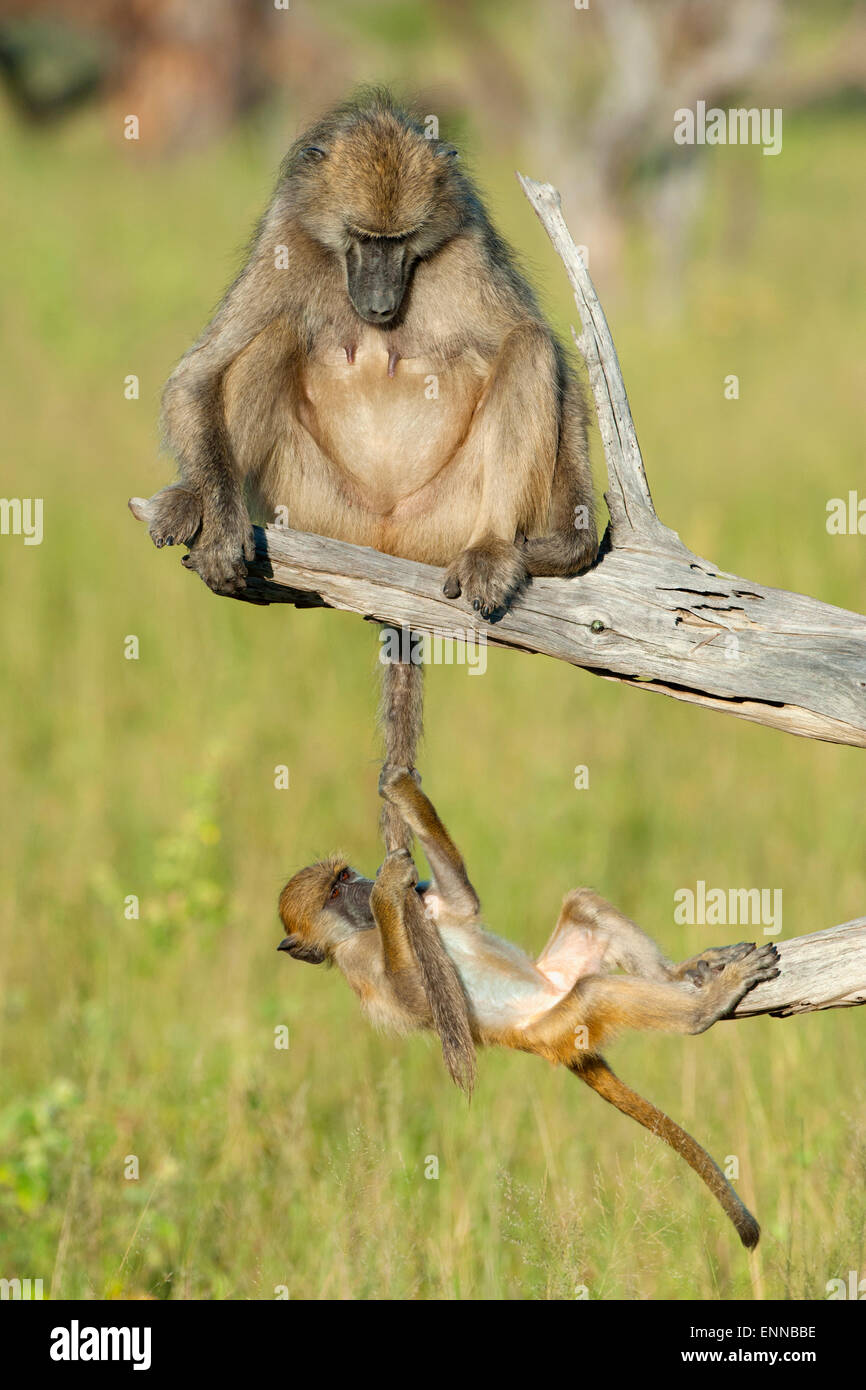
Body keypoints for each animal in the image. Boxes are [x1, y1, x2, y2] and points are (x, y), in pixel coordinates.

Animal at [277, 766, 781, 1248]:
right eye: (334, 892)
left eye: (344, 877)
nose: (363, 882)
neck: (361, 932)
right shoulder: (361, 965)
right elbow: (422, 998)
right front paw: (387, 888)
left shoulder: (427, 902)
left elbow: (462, 901)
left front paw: (399, 789)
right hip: (558, 1028)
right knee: (594, 993)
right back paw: (706, 1006)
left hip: (559, 975)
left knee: (584, 905)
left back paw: (682, 974)